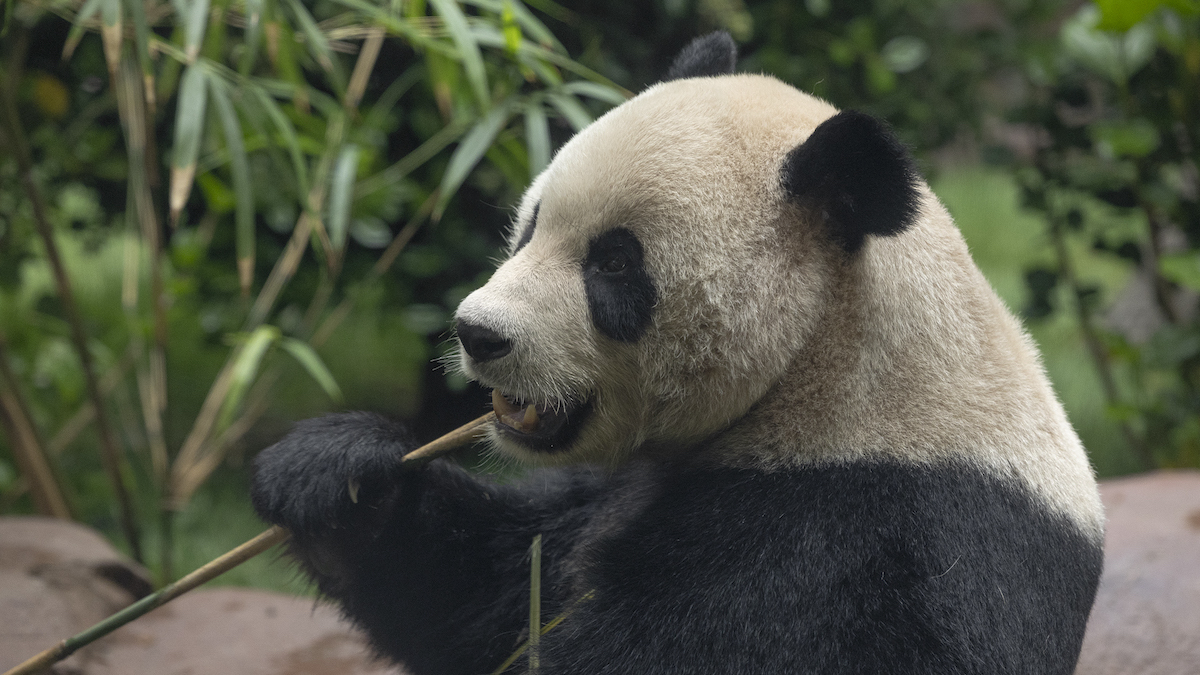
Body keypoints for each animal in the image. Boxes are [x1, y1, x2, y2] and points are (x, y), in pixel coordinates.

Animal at [251, 32, 1104, 675]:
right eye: (530, 227)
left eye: (613, 263)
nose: (479, 332)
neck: (827, 368)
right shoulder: (619, 487)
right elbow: (494, 591)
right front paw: (338, 475)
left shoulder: (852, 539)